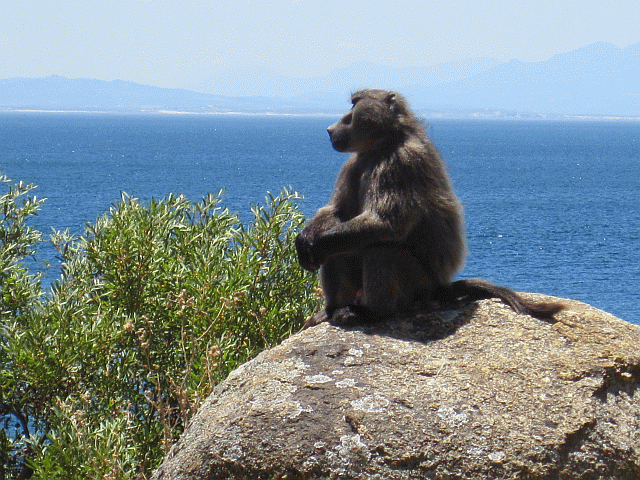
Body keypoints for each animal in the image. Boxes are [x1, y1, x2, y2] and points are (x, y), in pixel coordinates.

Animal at [295, 89, 564, 328]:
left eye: (354, 104)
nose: (331, 128)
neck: (383, 145)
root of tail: (440, 287)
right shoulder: (353, 163)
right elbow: (336, 212)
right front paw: (305, 240)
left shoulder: (400, 163)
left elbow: (386, 223)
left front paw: (316, 243)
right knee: (340, 247)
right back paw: (332, 310)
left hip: (418, 286)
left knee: (379, 247)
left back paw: (371, 313)